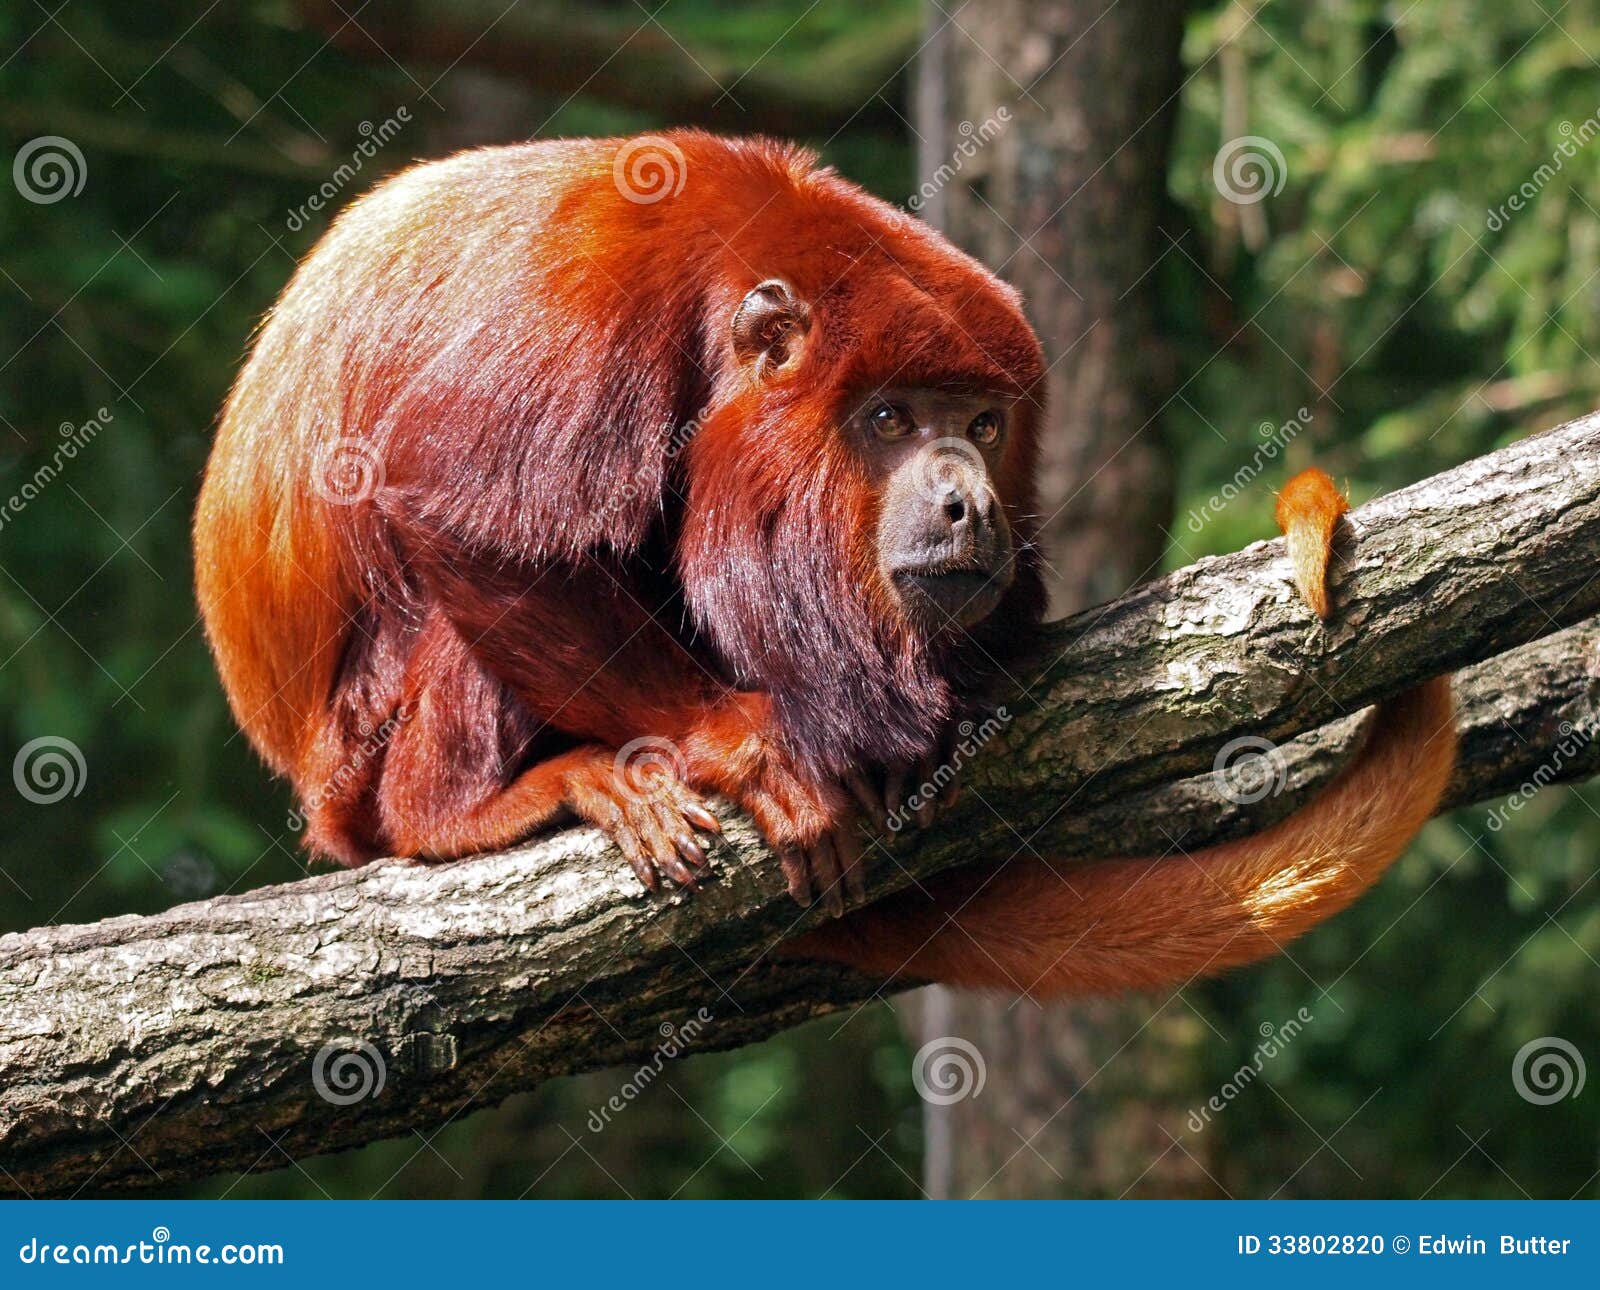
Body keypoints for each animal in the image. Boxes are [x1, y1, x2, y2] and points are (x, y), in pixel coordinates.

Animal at [194, 130, 1454, 999]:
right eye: (889, 418)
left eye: (982, 423)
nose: (966, 500)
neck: (714, 278)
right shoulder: (592, 307)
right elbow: (460, 517)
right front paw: (746, 747)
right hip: (364, 749)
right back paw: (465, 814)